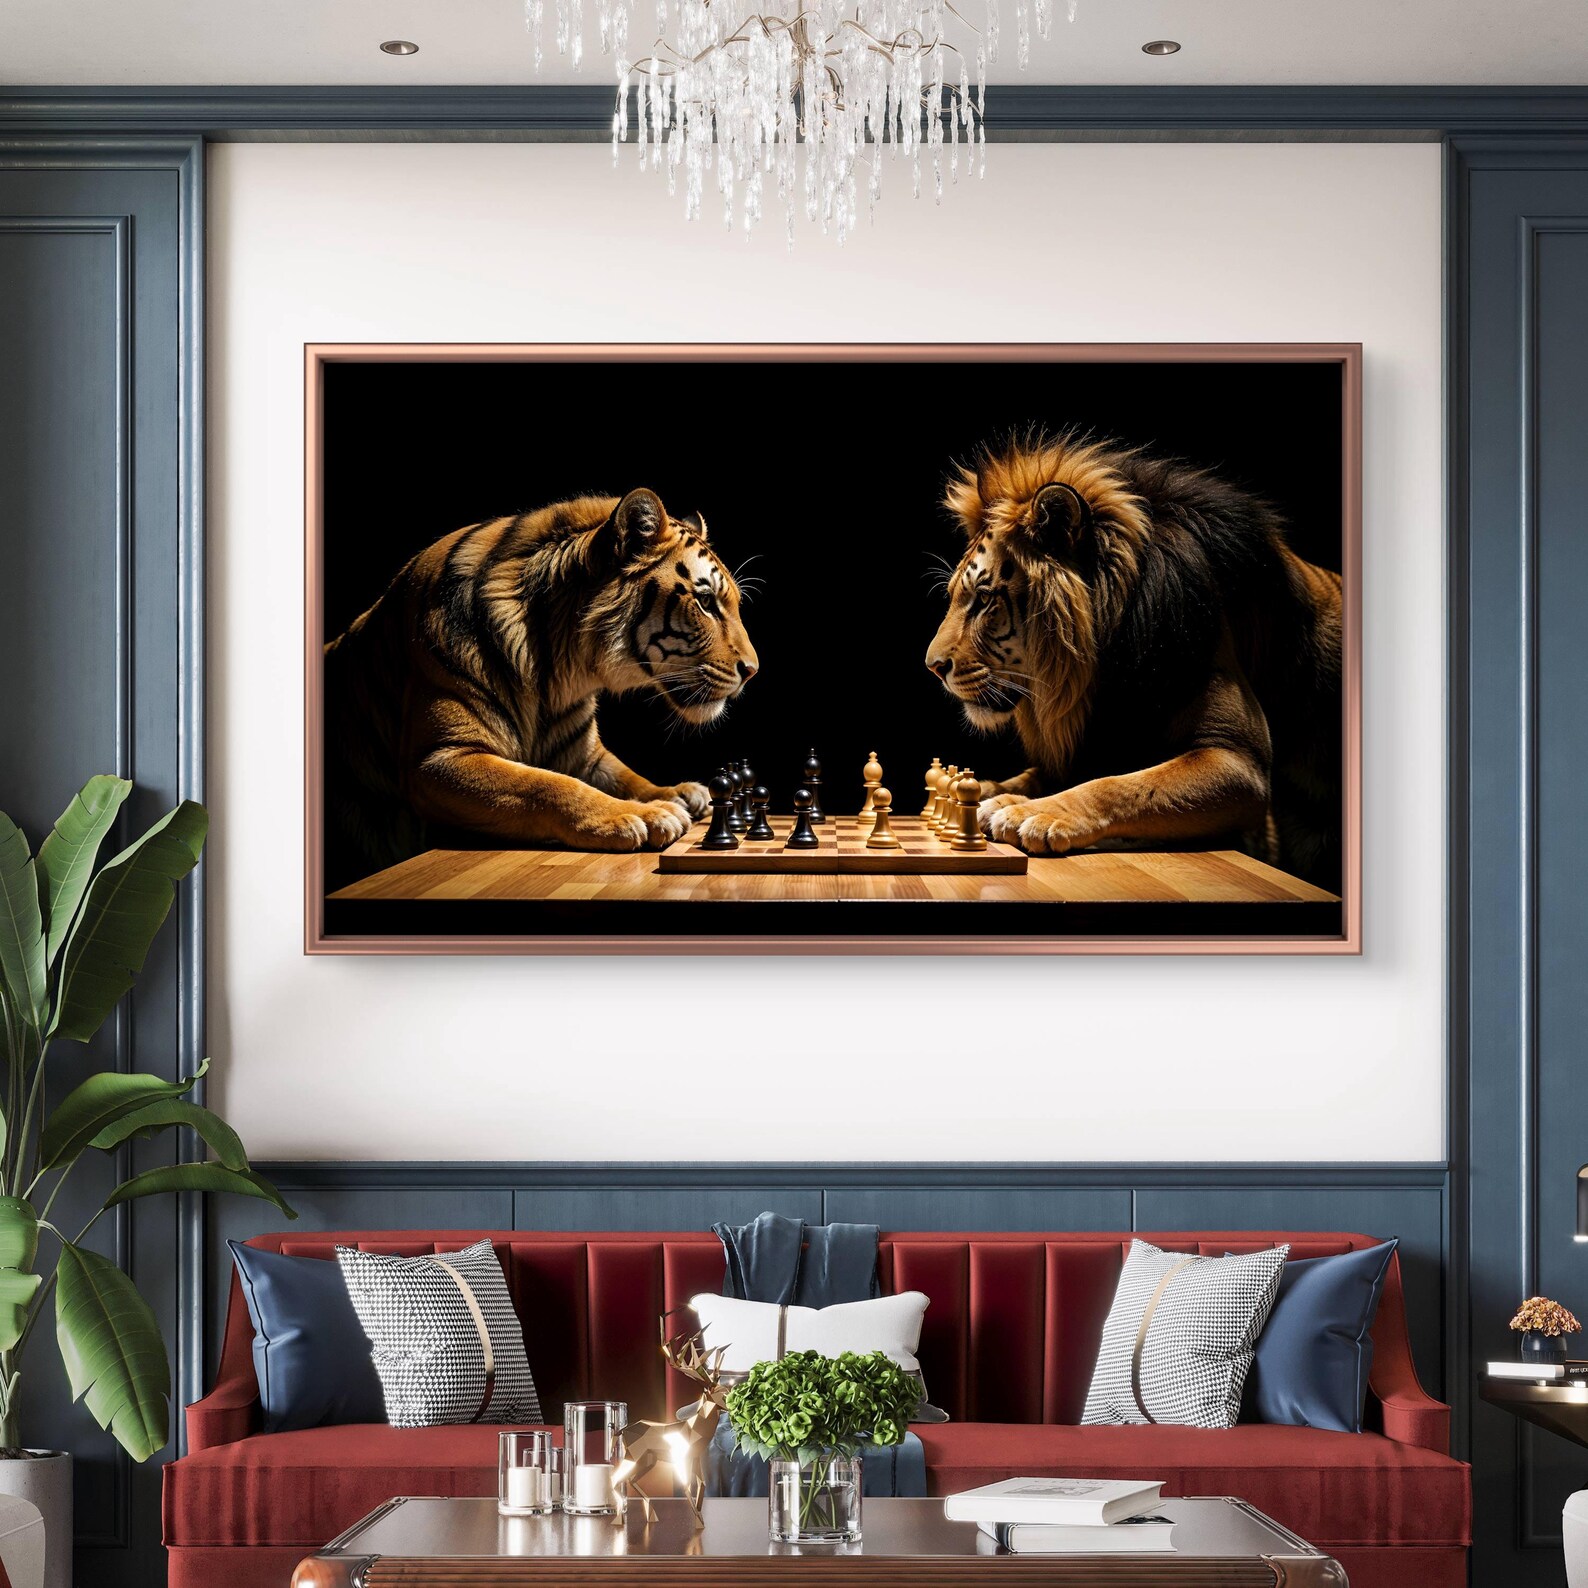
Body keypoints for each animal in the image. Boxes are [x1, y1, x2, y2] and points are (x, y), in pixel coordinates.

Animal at [323, 487, 758, 881]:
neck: (562, 670)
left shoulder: (583, 754)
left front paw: (677, 792)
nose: (752, 670)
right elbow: (547, 785)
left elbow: (627, 776)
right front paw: (643, 815)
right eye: (705, 602)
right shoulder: (438, 760)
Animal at [924, 433, 1342, 887]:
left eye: (984, 599)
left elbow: (1117, 785)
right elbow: (1028, 777)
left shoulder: (1238, 760)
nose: (933, 667)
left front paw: (1031, 812)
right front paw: (991, 794)